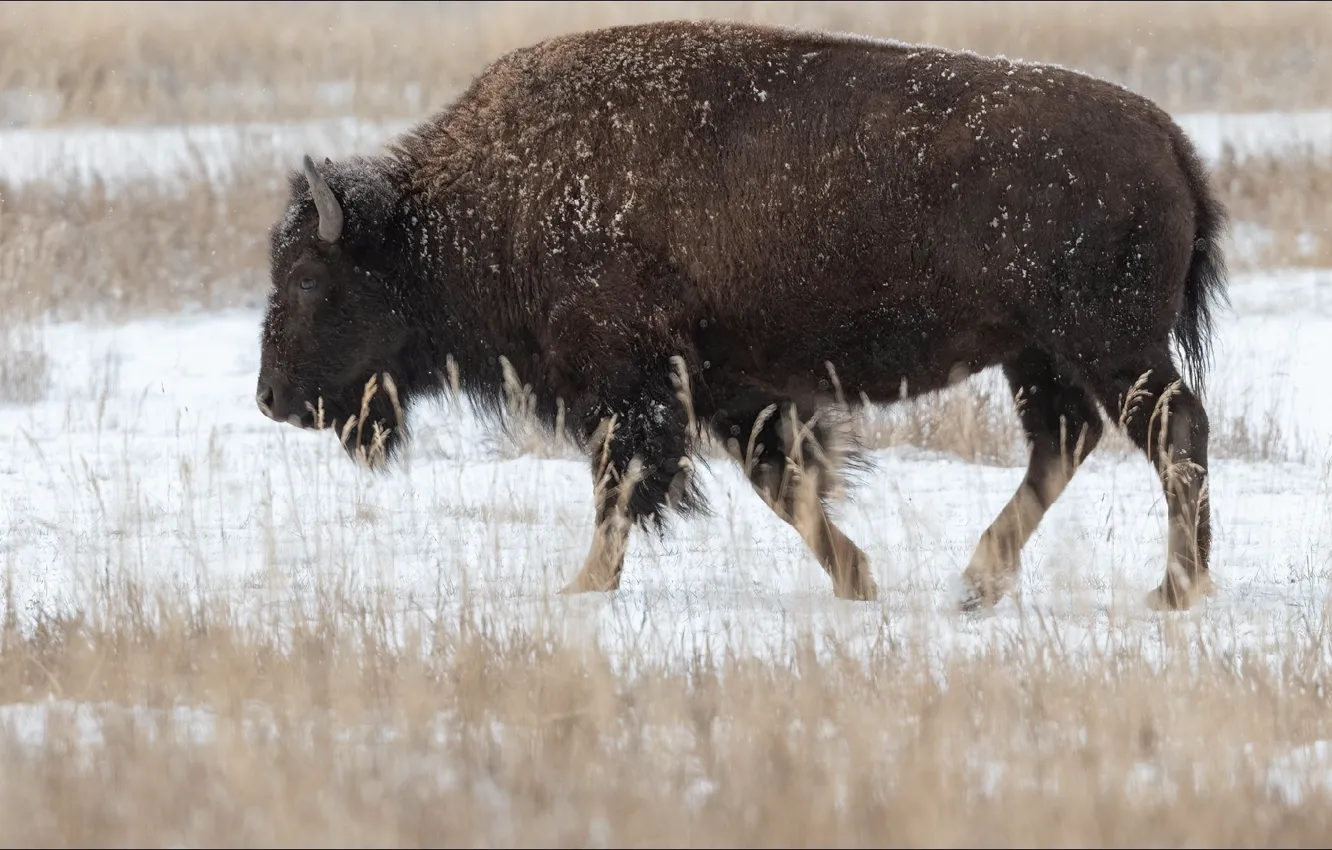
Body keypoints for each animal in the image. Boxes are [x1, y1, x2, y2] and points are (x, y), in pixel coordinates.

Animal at [255, 19, 1227, 611]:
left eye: (306, 278)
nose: (270, 397)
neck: (480, 203)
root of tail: (1169, 139)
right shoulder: (733, 389)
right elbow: (784, 486)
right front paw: (859, 582)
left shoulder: (636, 391)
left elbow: (625, 488)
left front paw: (581, 589)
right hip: (1042, 355)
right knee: (1064, 443)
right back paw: (976, 584)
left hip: (1107, 347)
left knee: (1171, 429)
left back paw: (1172, 589)